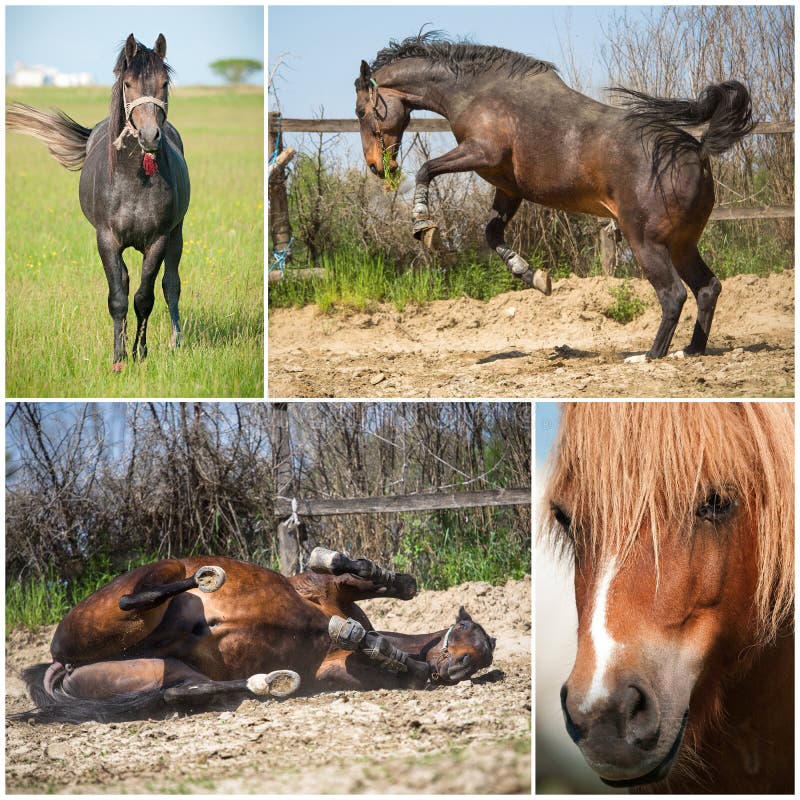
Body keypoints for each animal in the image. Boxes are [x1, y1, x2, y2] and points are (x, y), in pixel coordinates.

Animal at [7, 34, 190, 370]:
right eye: (128, 83)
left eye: (164, 83)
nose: (150, 136)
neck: (135, 178)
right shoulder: (106, 239)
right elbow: (117, 297)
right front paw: (118, 357)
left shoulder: (158, 240)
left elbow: (145, 298)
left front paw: (140, 353)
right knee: (126, 281)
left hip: (177, 233)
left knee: (171, 285)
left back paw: (175, 341)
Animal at [18, 547, 496, 723]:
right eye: (464, 628)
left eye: (482, 656)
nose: (456, 667)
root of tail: (61, 664)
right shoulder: (328, 588)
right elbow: (375, 576)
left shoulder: (339, 669)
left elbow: (386, 654)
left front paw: (364, 639)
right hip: (134, 592)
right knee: (133, 597)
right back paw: (206, 578)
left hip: (155, 672)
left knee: (179, 691)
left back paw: (270, 682)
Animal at [355, 32, 754, 361]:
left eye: (361, 111)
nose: (376, 167)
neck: (476, 92)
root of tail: (695, 150)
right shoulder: (508, 187)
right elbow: (492, 233)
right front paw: (533, 276)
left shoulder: (481, 154)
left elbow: (426, 169)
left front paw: (424, 227)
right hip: (682, 243)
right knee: (707, 288)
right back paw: (691, 350)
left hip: (646, 241)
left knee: (673, 294)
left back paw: (649, 356)